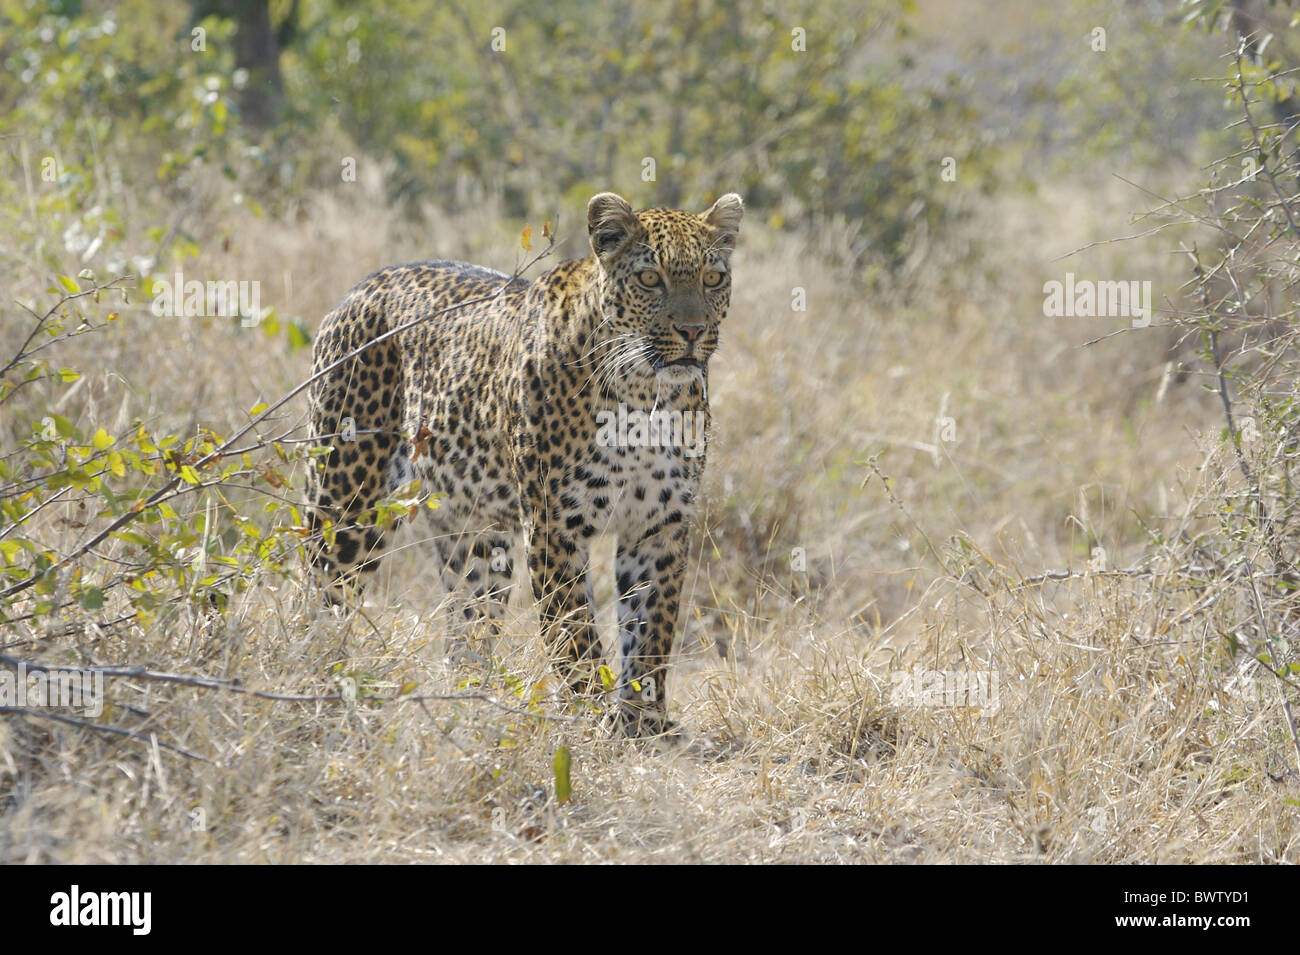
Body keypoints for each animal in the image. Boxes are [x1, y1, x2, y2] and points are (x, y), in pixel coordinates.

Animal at [305, 191, 743, 737]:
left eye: (713, 278)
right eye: (649, 278)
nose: (692, 331)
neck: (644, 395)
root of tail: (359, 287)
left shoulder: (658, 527)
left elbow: (651, 631)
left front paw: (644, 723)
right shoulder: (556, 527)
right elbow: (575, 637)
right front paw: (592, 723)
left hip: (474, 537)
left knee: (467, 625)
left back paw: (469, 707)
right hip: (347, 502)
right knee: (322, 592)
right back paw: (318, 678)